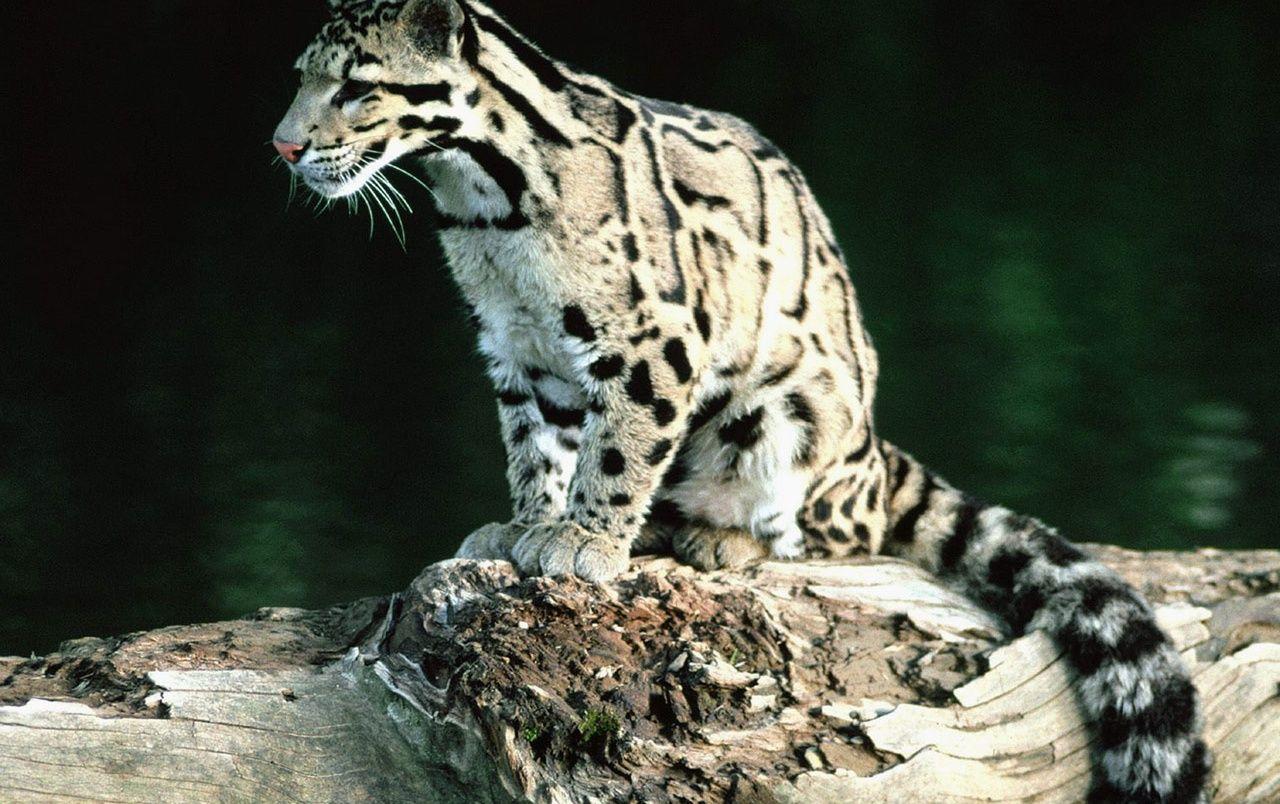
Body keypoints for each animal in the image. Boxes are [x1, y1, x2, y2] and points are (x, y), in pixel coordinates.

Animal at [273, 1, 1210, 800]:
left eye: (356, 86)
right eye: (301, 76)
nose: (282, 147)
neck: (483, 203)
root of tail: (876, 455)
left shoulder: (655, 337)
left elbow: (617, 449)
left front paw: (583, 541)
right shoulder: (517, 348)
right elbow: (536, 446)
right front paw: (525, 524)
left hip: (785, 419)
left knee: (827, 535)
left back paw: (719, 537)